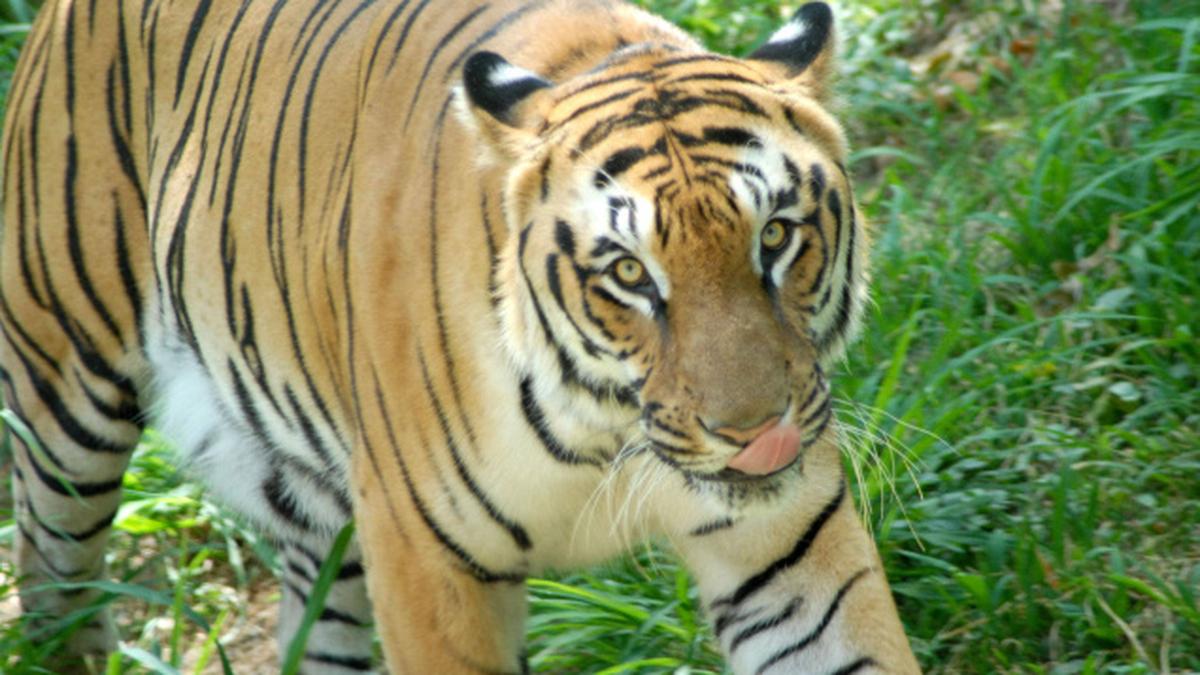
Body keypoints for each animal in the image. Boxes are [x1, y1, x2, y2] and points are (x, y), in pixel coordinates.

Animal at [0, 0, 922, 672]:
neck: (604, 432)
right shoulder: (424, 560)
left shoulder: (791, 550)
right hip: (64, 401)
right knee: (53, 580)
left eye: (777, 237)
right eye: (630, 273)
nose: (756, 434)